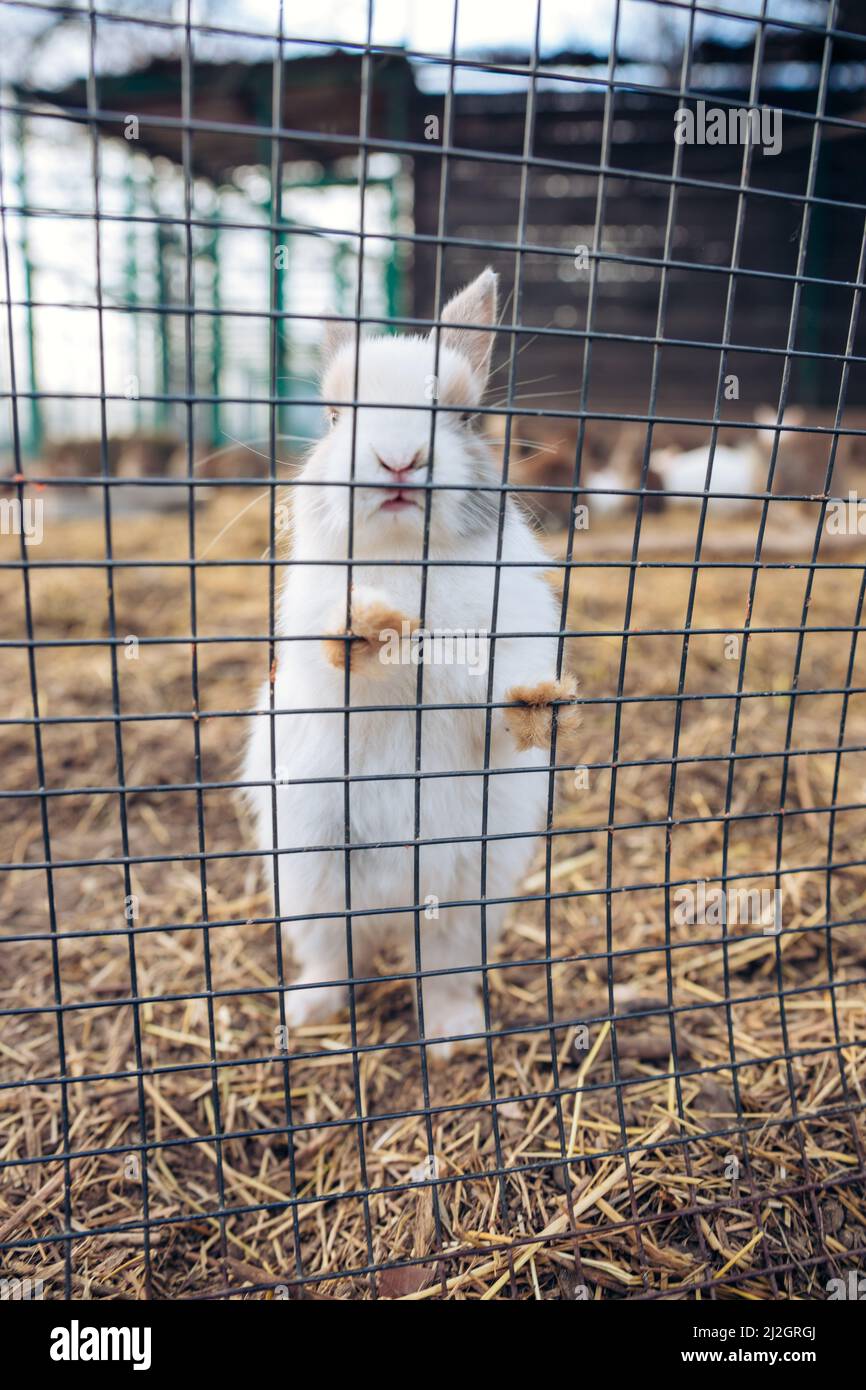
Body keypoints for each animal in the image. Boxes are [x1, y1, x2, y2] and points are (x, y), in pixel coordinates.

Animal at [243, 269, 580, 1061]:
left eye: (463, 416)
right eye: (336, 415)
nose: (398, 460)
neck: (405, 558)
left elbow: (501, 704)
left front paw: (539, 699)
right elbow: (343, 655)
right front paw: (369, 625)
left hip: (465, 901)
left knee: (443, 975)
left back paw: (455, 1039)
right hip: (311, 887)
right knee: (334, 959)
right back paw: (311, 1015)